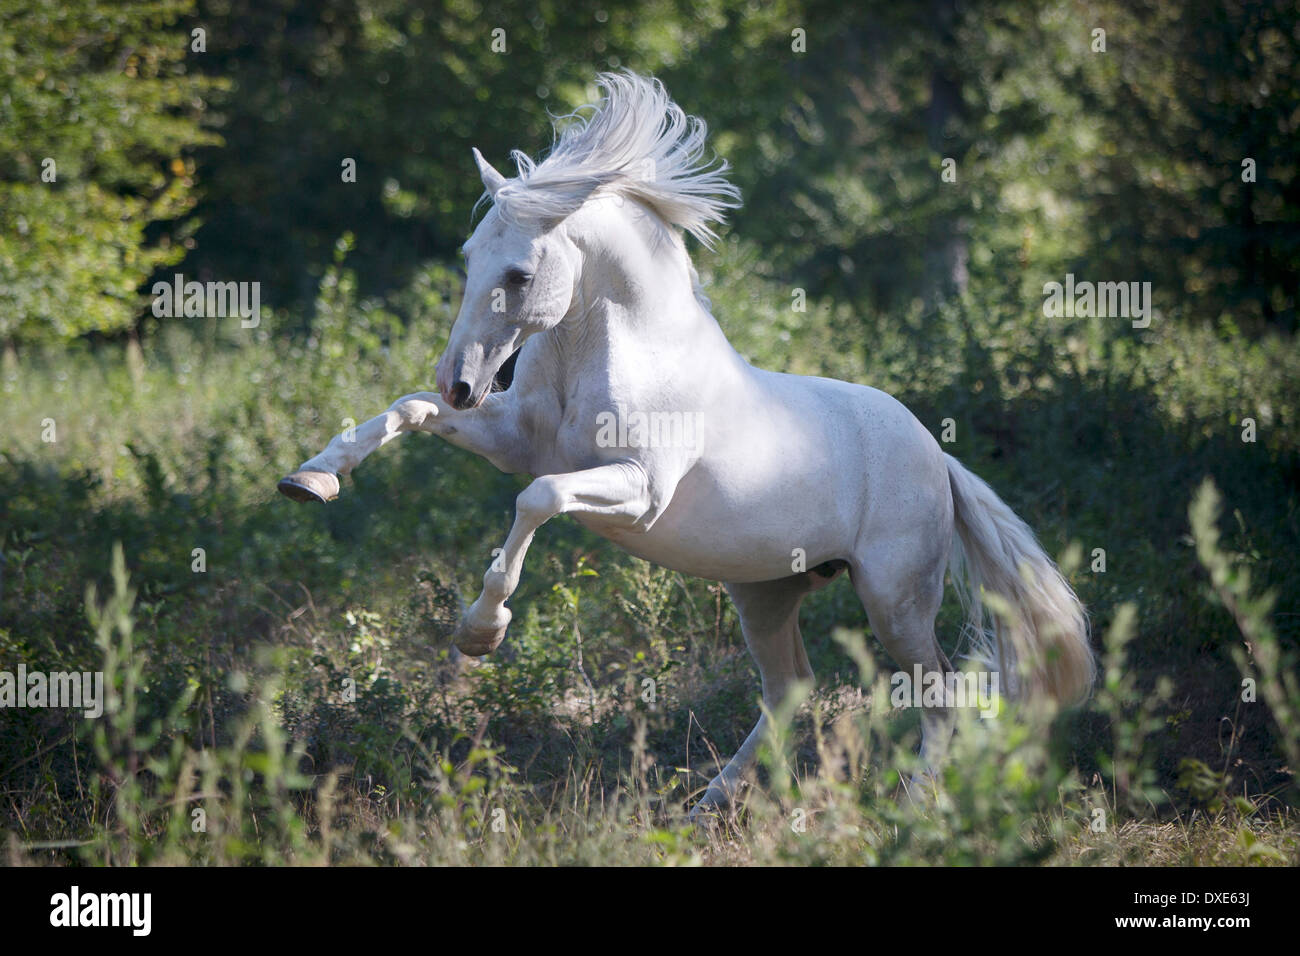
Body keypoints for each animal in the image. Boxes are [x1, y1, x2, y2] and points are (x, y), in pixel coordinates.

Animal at [277, 71, 1095, 815]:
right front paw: (313, 479)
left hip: (895, 599)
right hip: (765, 590)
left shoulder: (633, 490)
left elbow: (536, 499)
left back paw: (913, 807)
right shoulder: (513, 439)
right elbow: (406, 411)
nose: (462, 383)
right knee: (789, 687)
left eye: (520, 271)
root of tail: (941, 457)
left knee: (939, 691)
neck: (611, 348)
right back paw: (713, 802)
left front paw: (481, 631)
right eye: (468, 254)